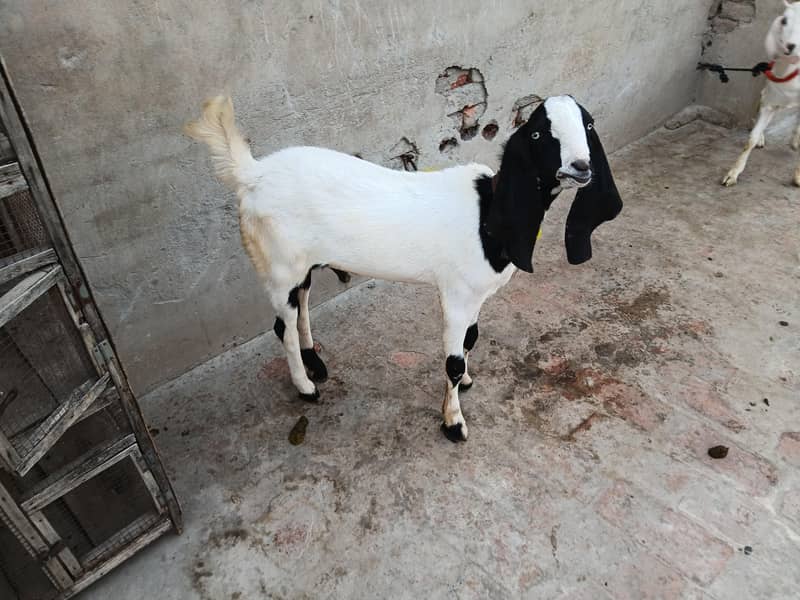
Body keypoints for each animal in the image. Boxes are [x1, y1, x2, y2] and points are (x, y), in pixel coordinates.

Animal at [184, 94, 622, 442]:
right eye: (537, 134)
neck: (489, 211)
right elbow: (452, 359)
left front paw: (466, 382)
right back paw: (306, 387)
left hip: (301, 263)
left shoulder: (475, 295)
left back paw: (316, 363)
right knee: (282, 325)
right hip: (279, 263)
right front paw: (453, 423)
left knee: (302, 303)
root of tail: (252, 173)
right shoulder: (457, 295)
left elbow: (472, 339)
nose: (581, 167)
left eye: (588, 125)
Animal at [723, 0, 800, 187]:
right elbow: (751, 138)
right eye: (784, 20)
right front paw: (733, 173)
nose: (790, 46)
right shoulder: (771, 98)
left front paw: (798, 176)